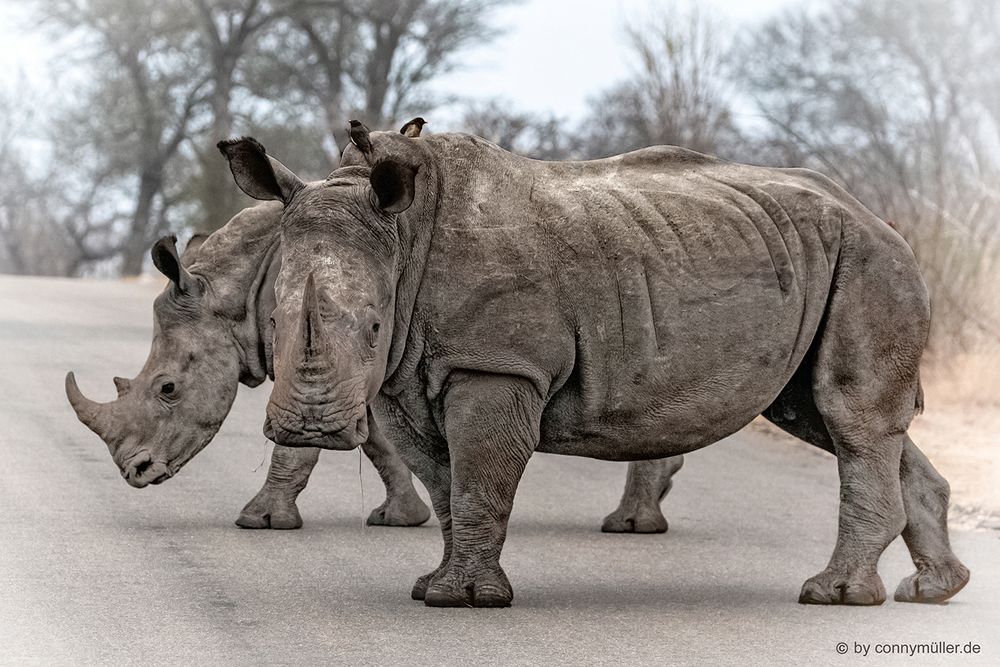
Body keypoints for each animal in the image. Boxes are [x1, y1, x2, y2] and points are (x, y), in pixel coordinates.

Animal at [64, 199, 685, 533]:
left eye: (167, 389)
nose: (135, 473)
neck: (234, 294)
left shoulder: (318, 353)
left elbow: (300, 444)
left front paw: (260, 521)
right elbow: (379, 440)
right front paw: (403, 516)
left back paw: (630, 526)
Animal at [217, 126, 970, 609]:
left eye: (372, 326)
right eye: (272, 323)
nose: (310, 427)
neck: (401, 234)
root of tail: (878, 215)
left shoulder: (497, 365)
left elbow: (479, 478)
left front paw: (465, 601)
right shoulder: (409, 376)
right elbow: (444, 483)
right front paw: (432, 587)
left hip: (869, 261)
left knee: (851, 417)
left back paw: (834, 597)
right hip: (820, 257)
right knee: (822, 415)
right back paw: (931, 591)